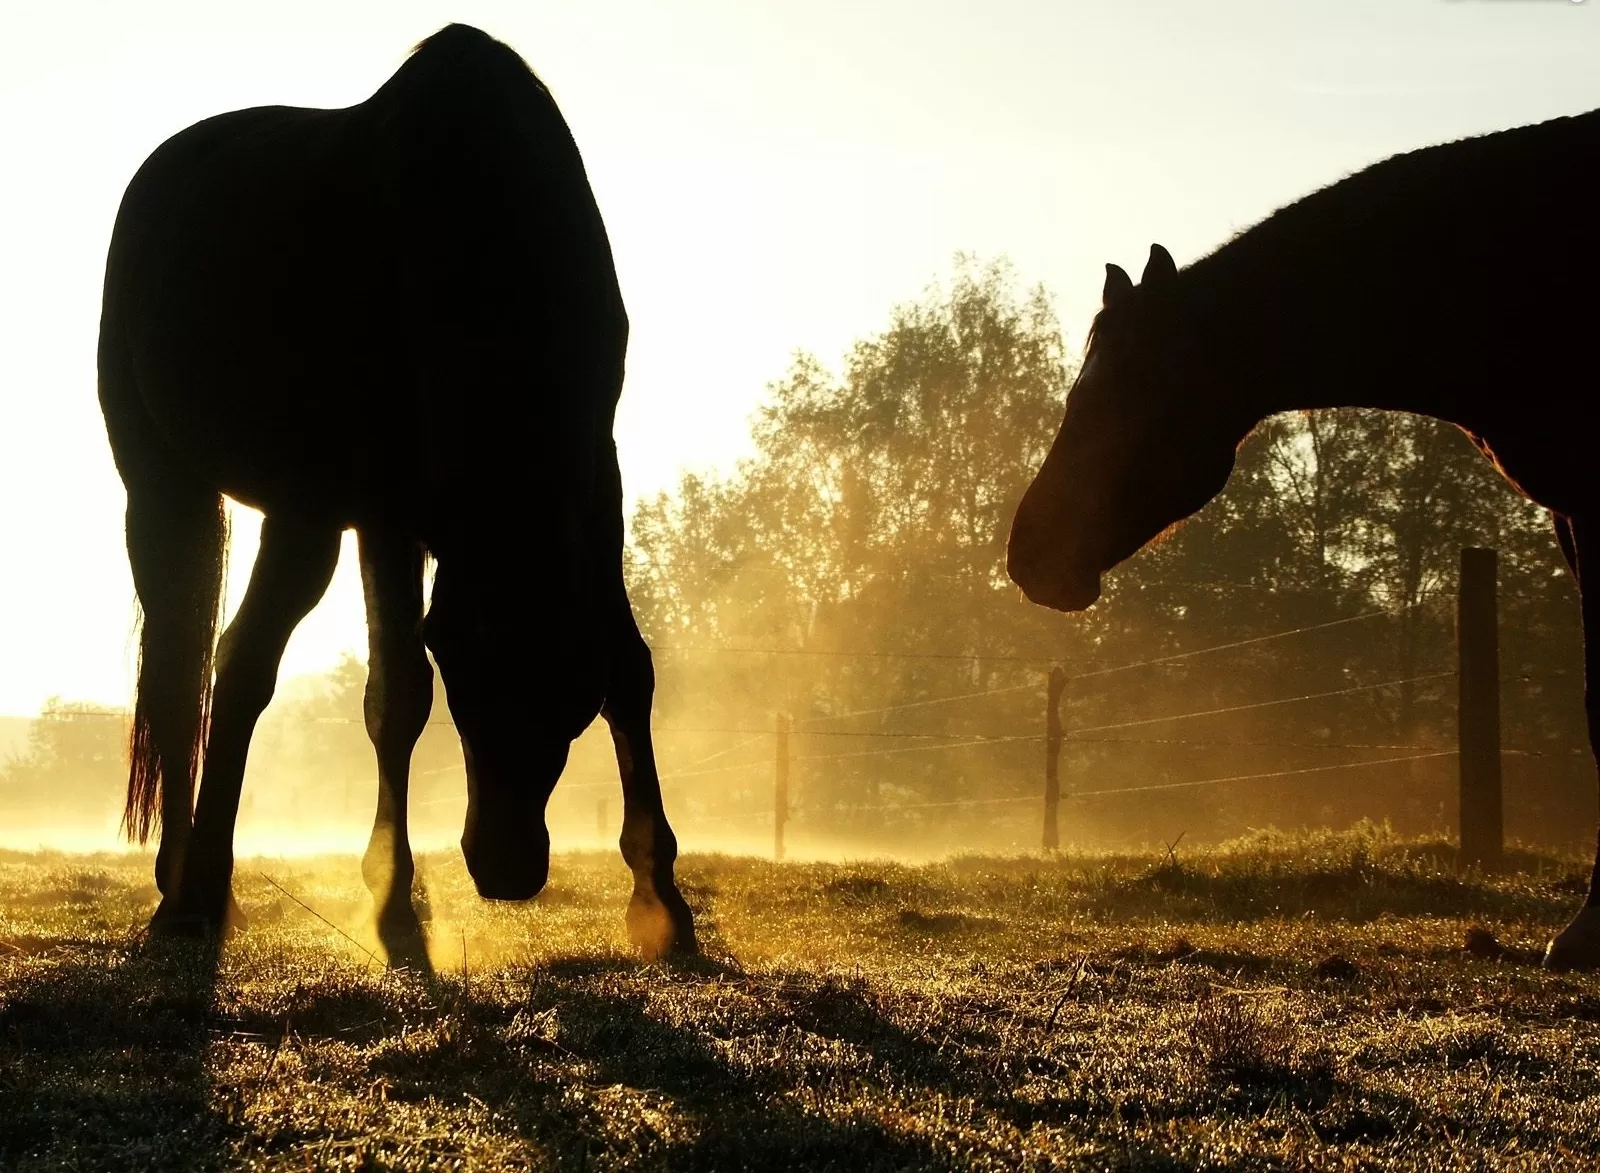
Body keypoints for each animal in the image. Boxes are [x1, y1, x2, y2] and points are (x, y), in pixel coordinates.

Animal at [96, 25, 697, 960]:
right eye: (469, 678)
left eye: (570, 696)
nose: (507, 868)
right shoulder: (360, 506)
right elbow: (372, 689)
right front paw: (381, 898)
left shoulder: (590, 482)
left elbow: (627, 668)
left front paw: (659, 897)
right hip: (170, 486)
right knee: (189, 671)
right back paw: (185, 889)